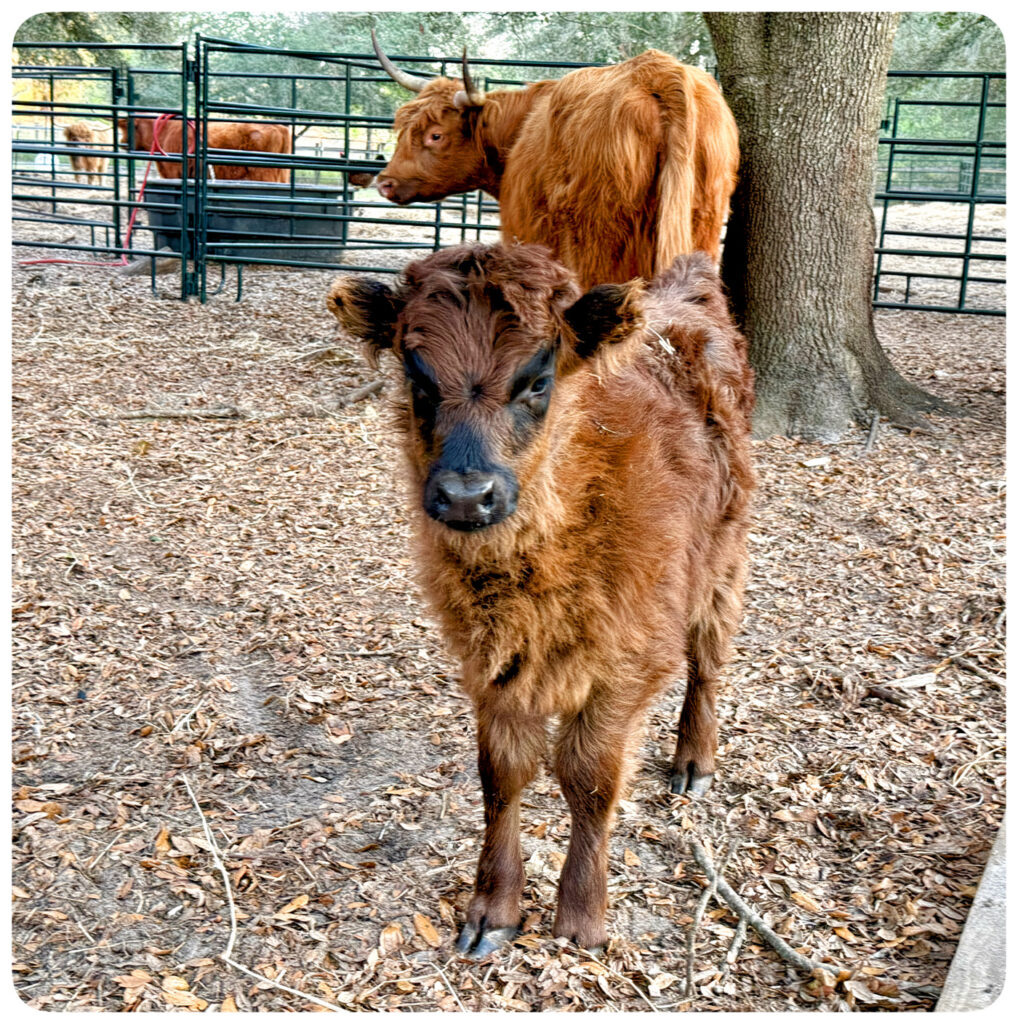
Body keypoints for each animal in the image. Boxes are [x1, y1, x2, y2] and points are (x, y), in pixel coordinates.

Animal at [325, 242, 754, 955]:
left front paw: (582, 917)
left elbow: (588, 778)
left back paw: (694, 760)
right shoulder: (492, 662)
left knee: (709, 656)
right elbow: (502, 775)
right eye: (418, 380)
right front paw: (492, 909)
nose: (466, 495)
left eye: (537, 381)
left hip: (724, 555)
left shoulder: (626, 663)